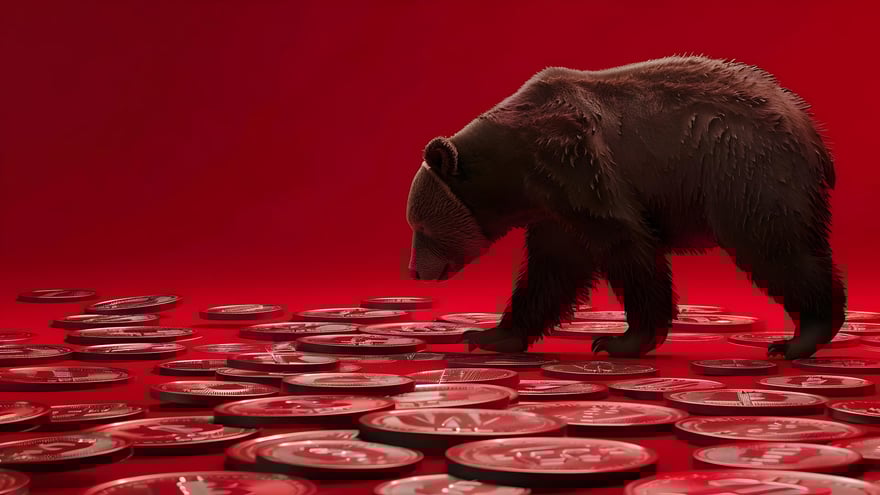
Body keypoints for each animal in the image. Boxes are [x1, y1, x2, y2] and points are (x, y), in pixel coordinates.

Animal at [405, 55, 846, 360]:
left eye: (420, 226)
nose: (415, 271)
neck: (518, 165)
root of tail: (807, 124)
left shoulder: (577, 163)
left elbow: (625, 243)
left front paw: (621, 339)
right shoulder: (555, 207)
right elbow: (553, 269)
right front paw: (489, 335)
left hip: (744, 169)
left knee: (775, 245)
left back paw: (802, 336)